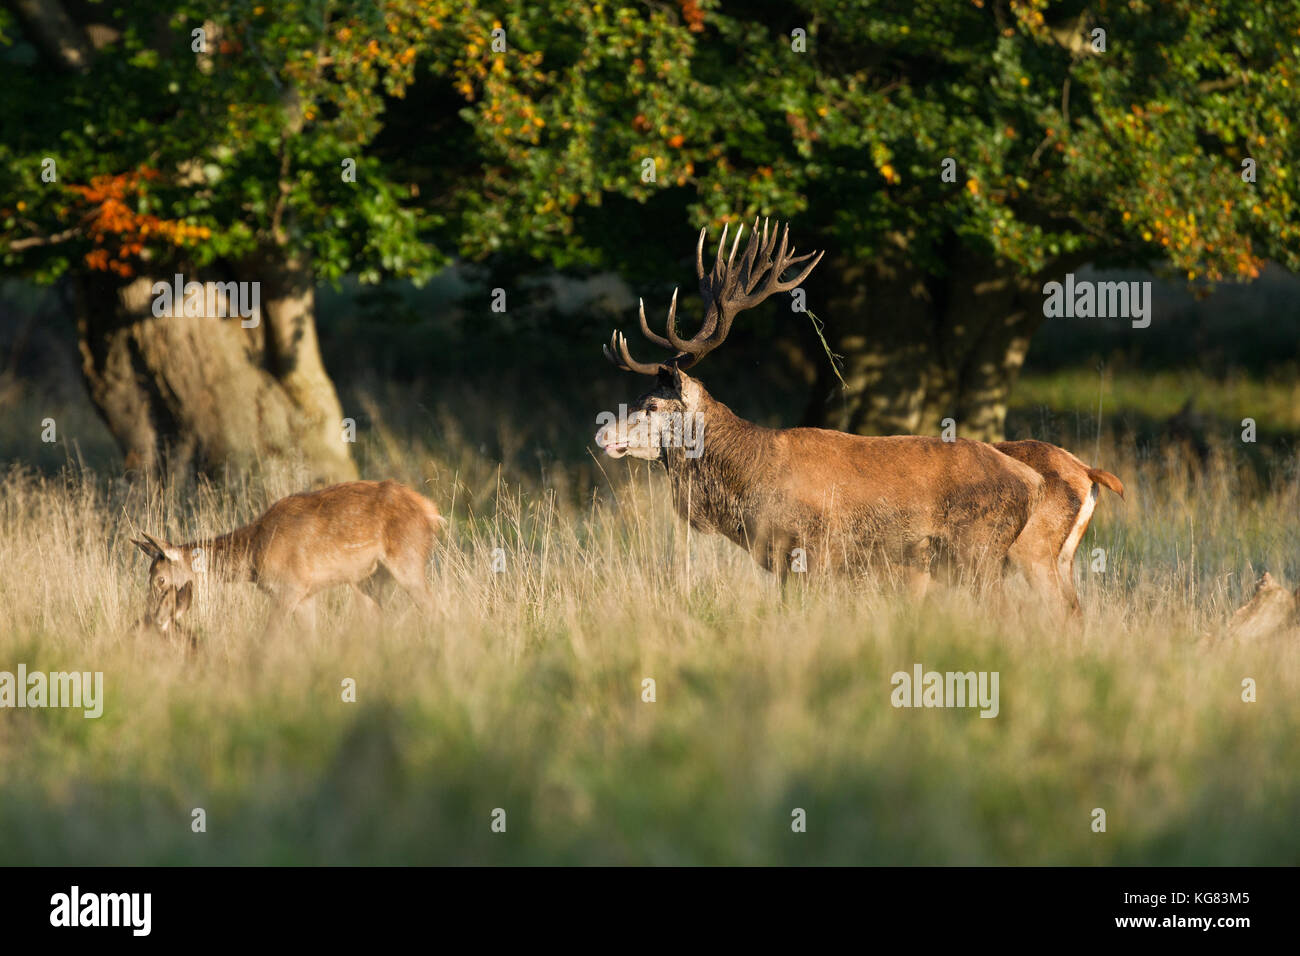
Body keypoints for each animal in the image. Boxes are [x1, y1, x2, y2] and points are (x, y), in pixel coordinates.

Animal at [132, 479, 444, 636]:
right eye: (149, 576)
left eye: (161, 579)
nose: (147, 616)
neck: (254, 554)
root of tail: (431, 511)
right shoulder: (306, 594)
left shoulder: (290, 586)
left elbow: (269, 638)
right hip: (368, 579)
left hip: (407, 560)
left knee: (436, 611)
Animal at [594, 218, 1075, 604]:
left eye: (652, 403)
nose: (601, 433)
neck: (753, 476)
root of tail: (1031, 482)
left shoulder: (810, 549)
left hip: (979, 550)